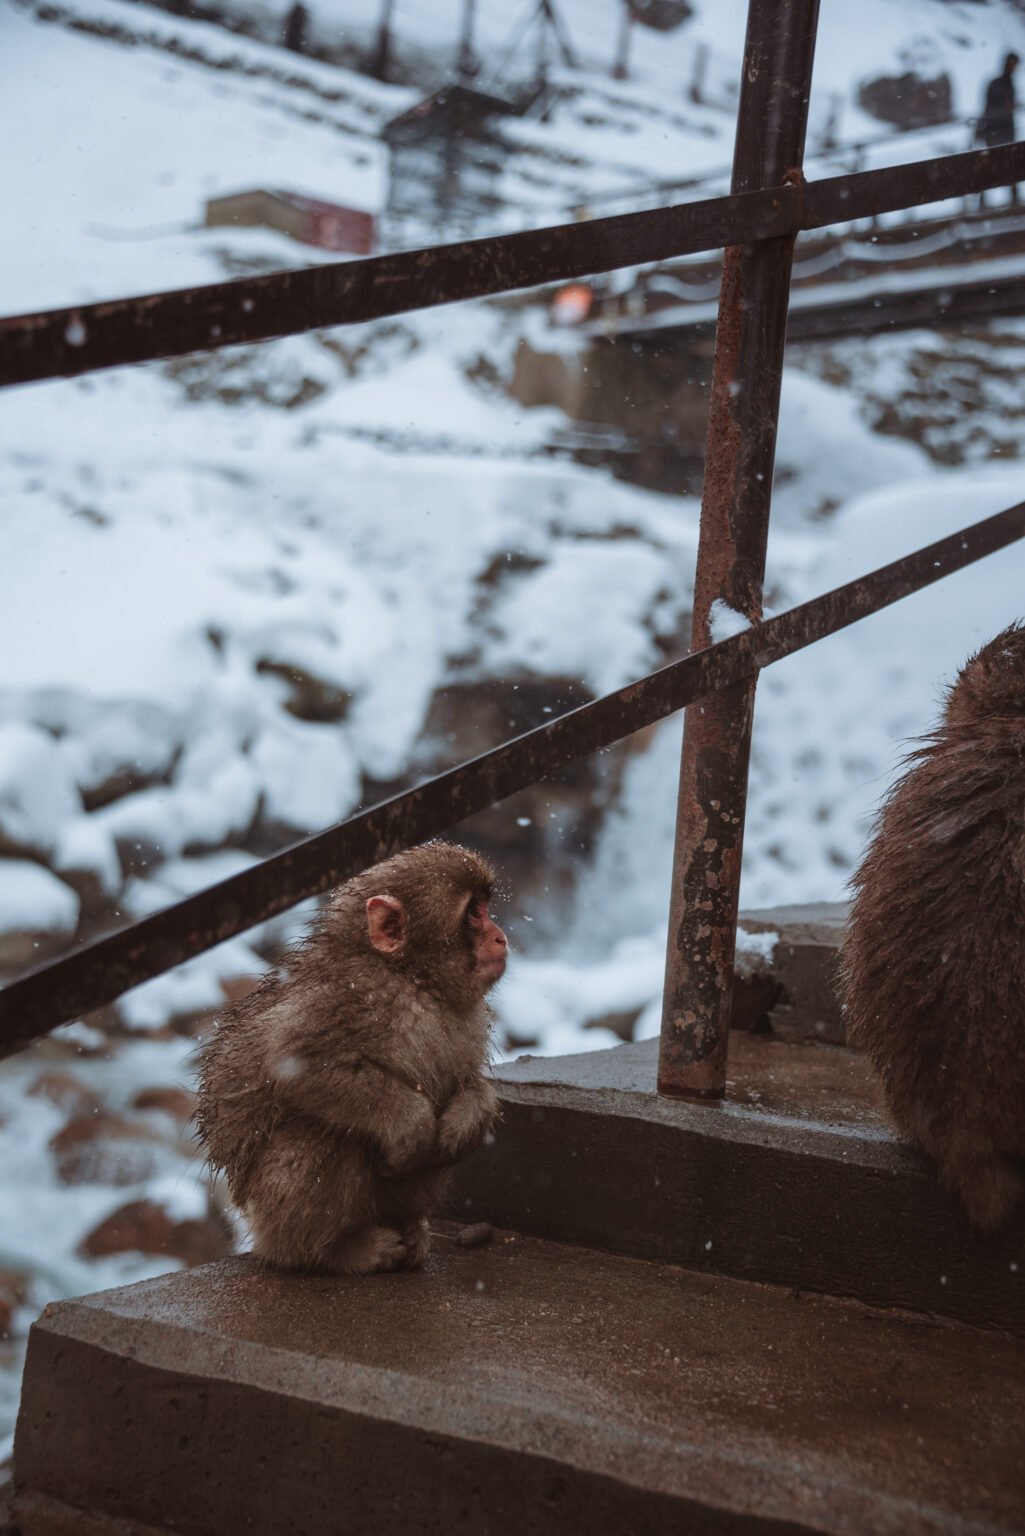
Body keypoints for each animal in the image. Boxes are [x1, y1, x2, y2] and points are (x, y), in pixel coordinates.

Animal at [194, 842, 508, 1274]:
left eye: (485, 906)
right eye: (474, 912)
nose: (500, 937)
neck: (414, 980)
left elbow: (467, 1081)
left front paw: (468, 1117)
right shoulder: (348, 998)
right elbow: (294, 1062)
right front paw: (411, 1123)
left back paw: (411, 1228)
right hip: (269, 1210)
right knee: (321, 1136)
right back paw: (329, 1251)